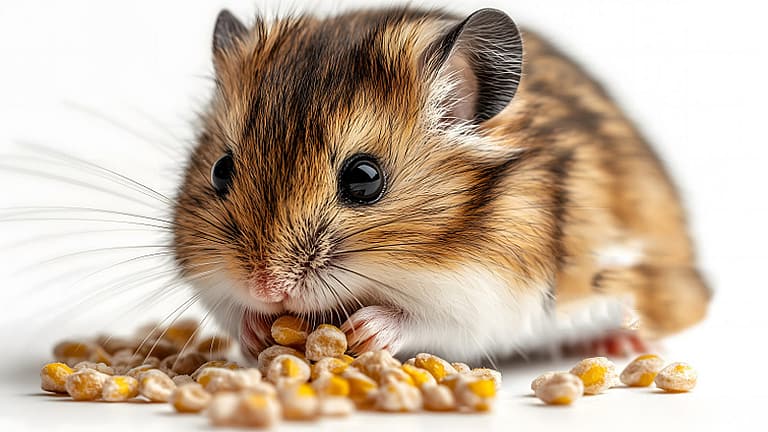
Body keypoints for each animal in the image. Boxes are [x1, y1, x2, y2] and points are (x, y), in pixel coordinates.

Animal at [172, 7, 711, 362]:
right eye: (221, 170)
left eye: (364, 179)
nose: (265, 288)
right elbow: (229, 309)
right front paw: (256, 328)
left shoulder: (486, 296)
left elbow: (423, 320)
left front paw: (367, 330)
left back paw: (626, 341)